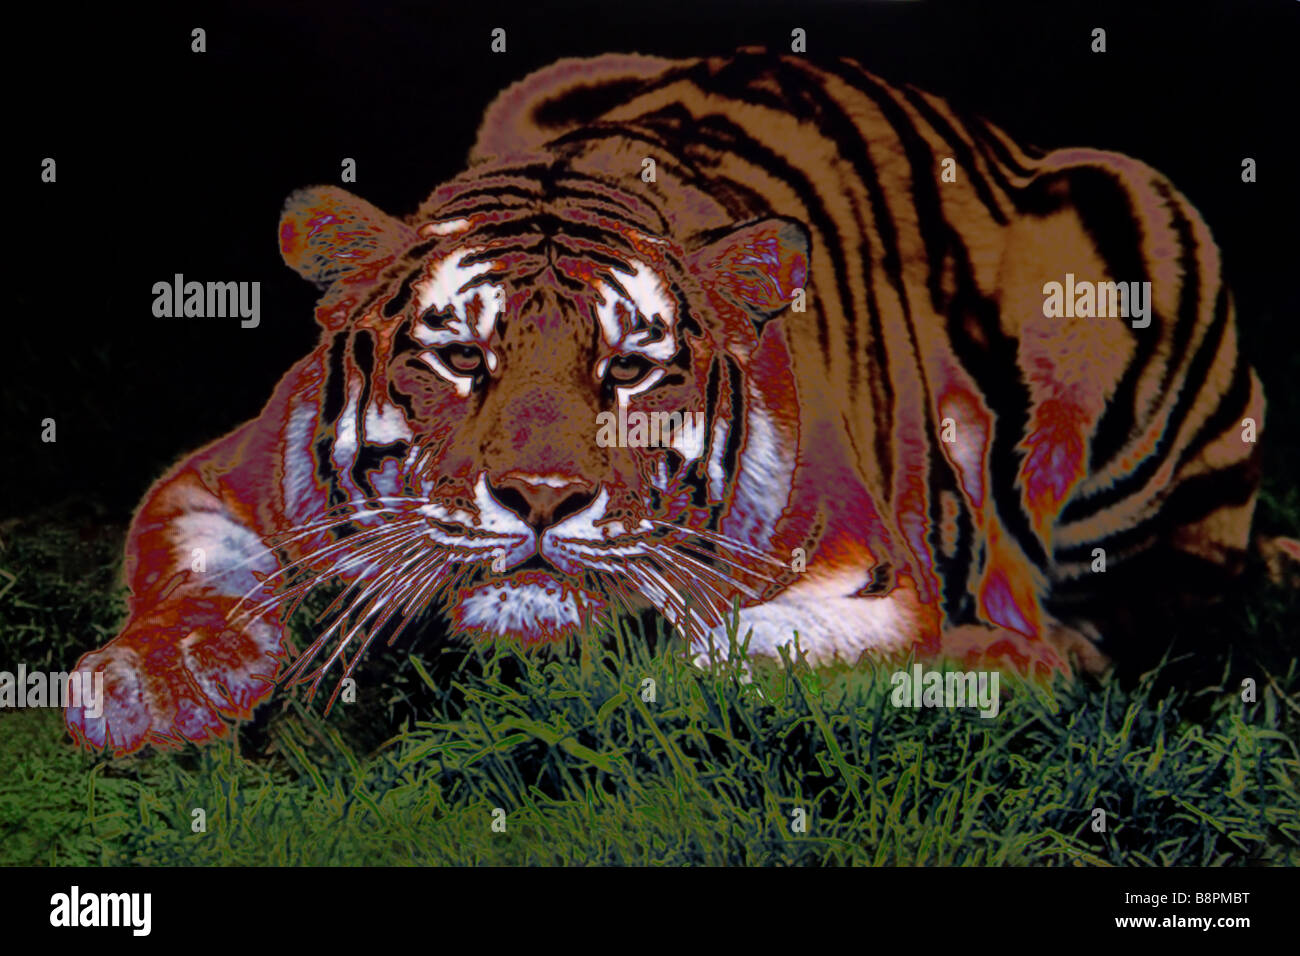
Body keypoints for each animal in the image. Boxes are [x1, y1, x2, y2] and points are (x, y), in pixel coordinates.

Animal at [66, 50, 1265, 754]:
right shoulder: (216, 476)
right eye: (458, 355)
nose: (540, 497)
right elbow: (195, 575)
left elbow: (730, 653)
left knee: (1142, 610)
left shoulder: (872, 582)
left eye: (633, 368)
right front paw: (147, 688)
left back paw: (1018, 657)